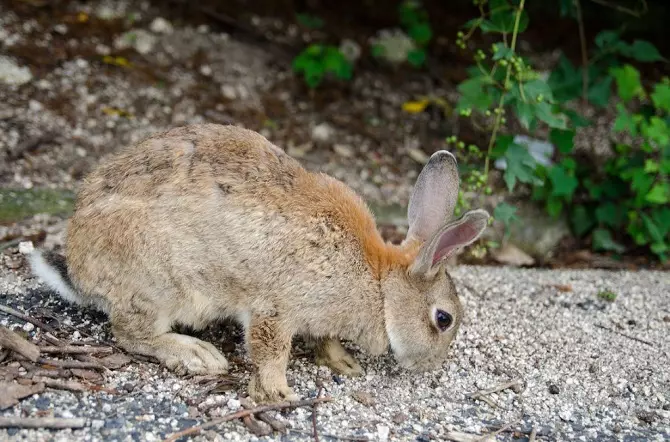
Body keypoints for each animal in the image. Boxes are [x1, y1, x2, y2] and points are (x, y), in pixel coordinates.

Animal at [28, 122, 490, 402]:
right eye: (443, 319)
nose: (431, 367)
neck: (379, 284)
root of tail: (79, 267)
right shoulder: (277, 307)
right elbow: (271, 350)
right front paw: (279, 392)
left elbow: (324, 338)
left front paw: (343, 362)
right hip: (159, 283)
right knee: (131, 332)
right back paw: (197, 354)